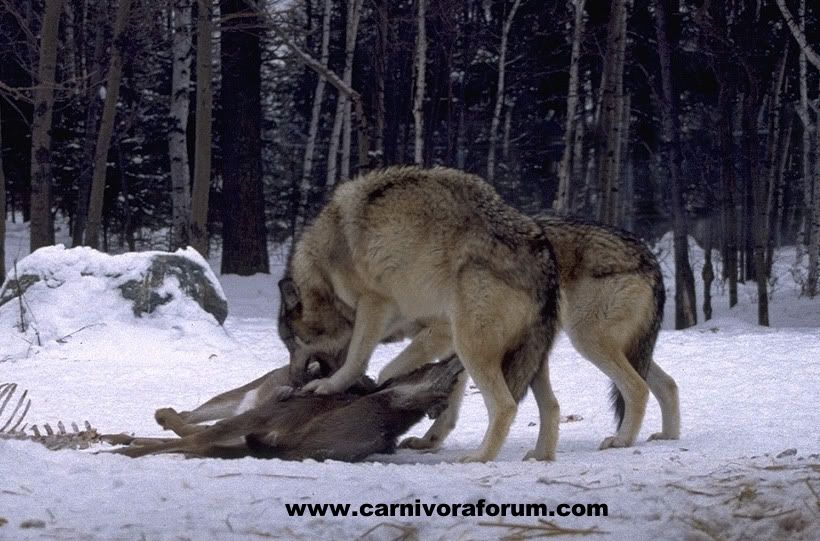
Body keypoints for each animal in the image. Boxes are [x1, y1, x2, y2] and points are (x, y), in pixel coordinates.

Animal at [105, 357, 464, 461]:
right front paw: (120, 454)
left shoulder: (278, 446)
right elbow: (196, 437)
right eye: (428, 366)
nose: (455, 358)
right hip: (245, 395)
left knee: (191, 429)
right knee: (191, 418)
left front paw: (123, 450)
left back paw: (122, 438)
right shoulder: (268, 420)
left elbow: (199, 442)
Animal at [278, 166, 561, 462]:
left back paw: (478, 457)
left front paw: (333, 385)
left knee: (505, 406)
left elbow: (363, 363)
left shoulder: (376, 304)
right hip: (525, 359)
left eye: (292, 343)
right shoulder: (438, 330)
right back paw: (539, 455)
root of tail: (544, 260)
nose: (293, 382)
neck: (324, 272)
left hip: (472, 347)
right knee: (552, 406)